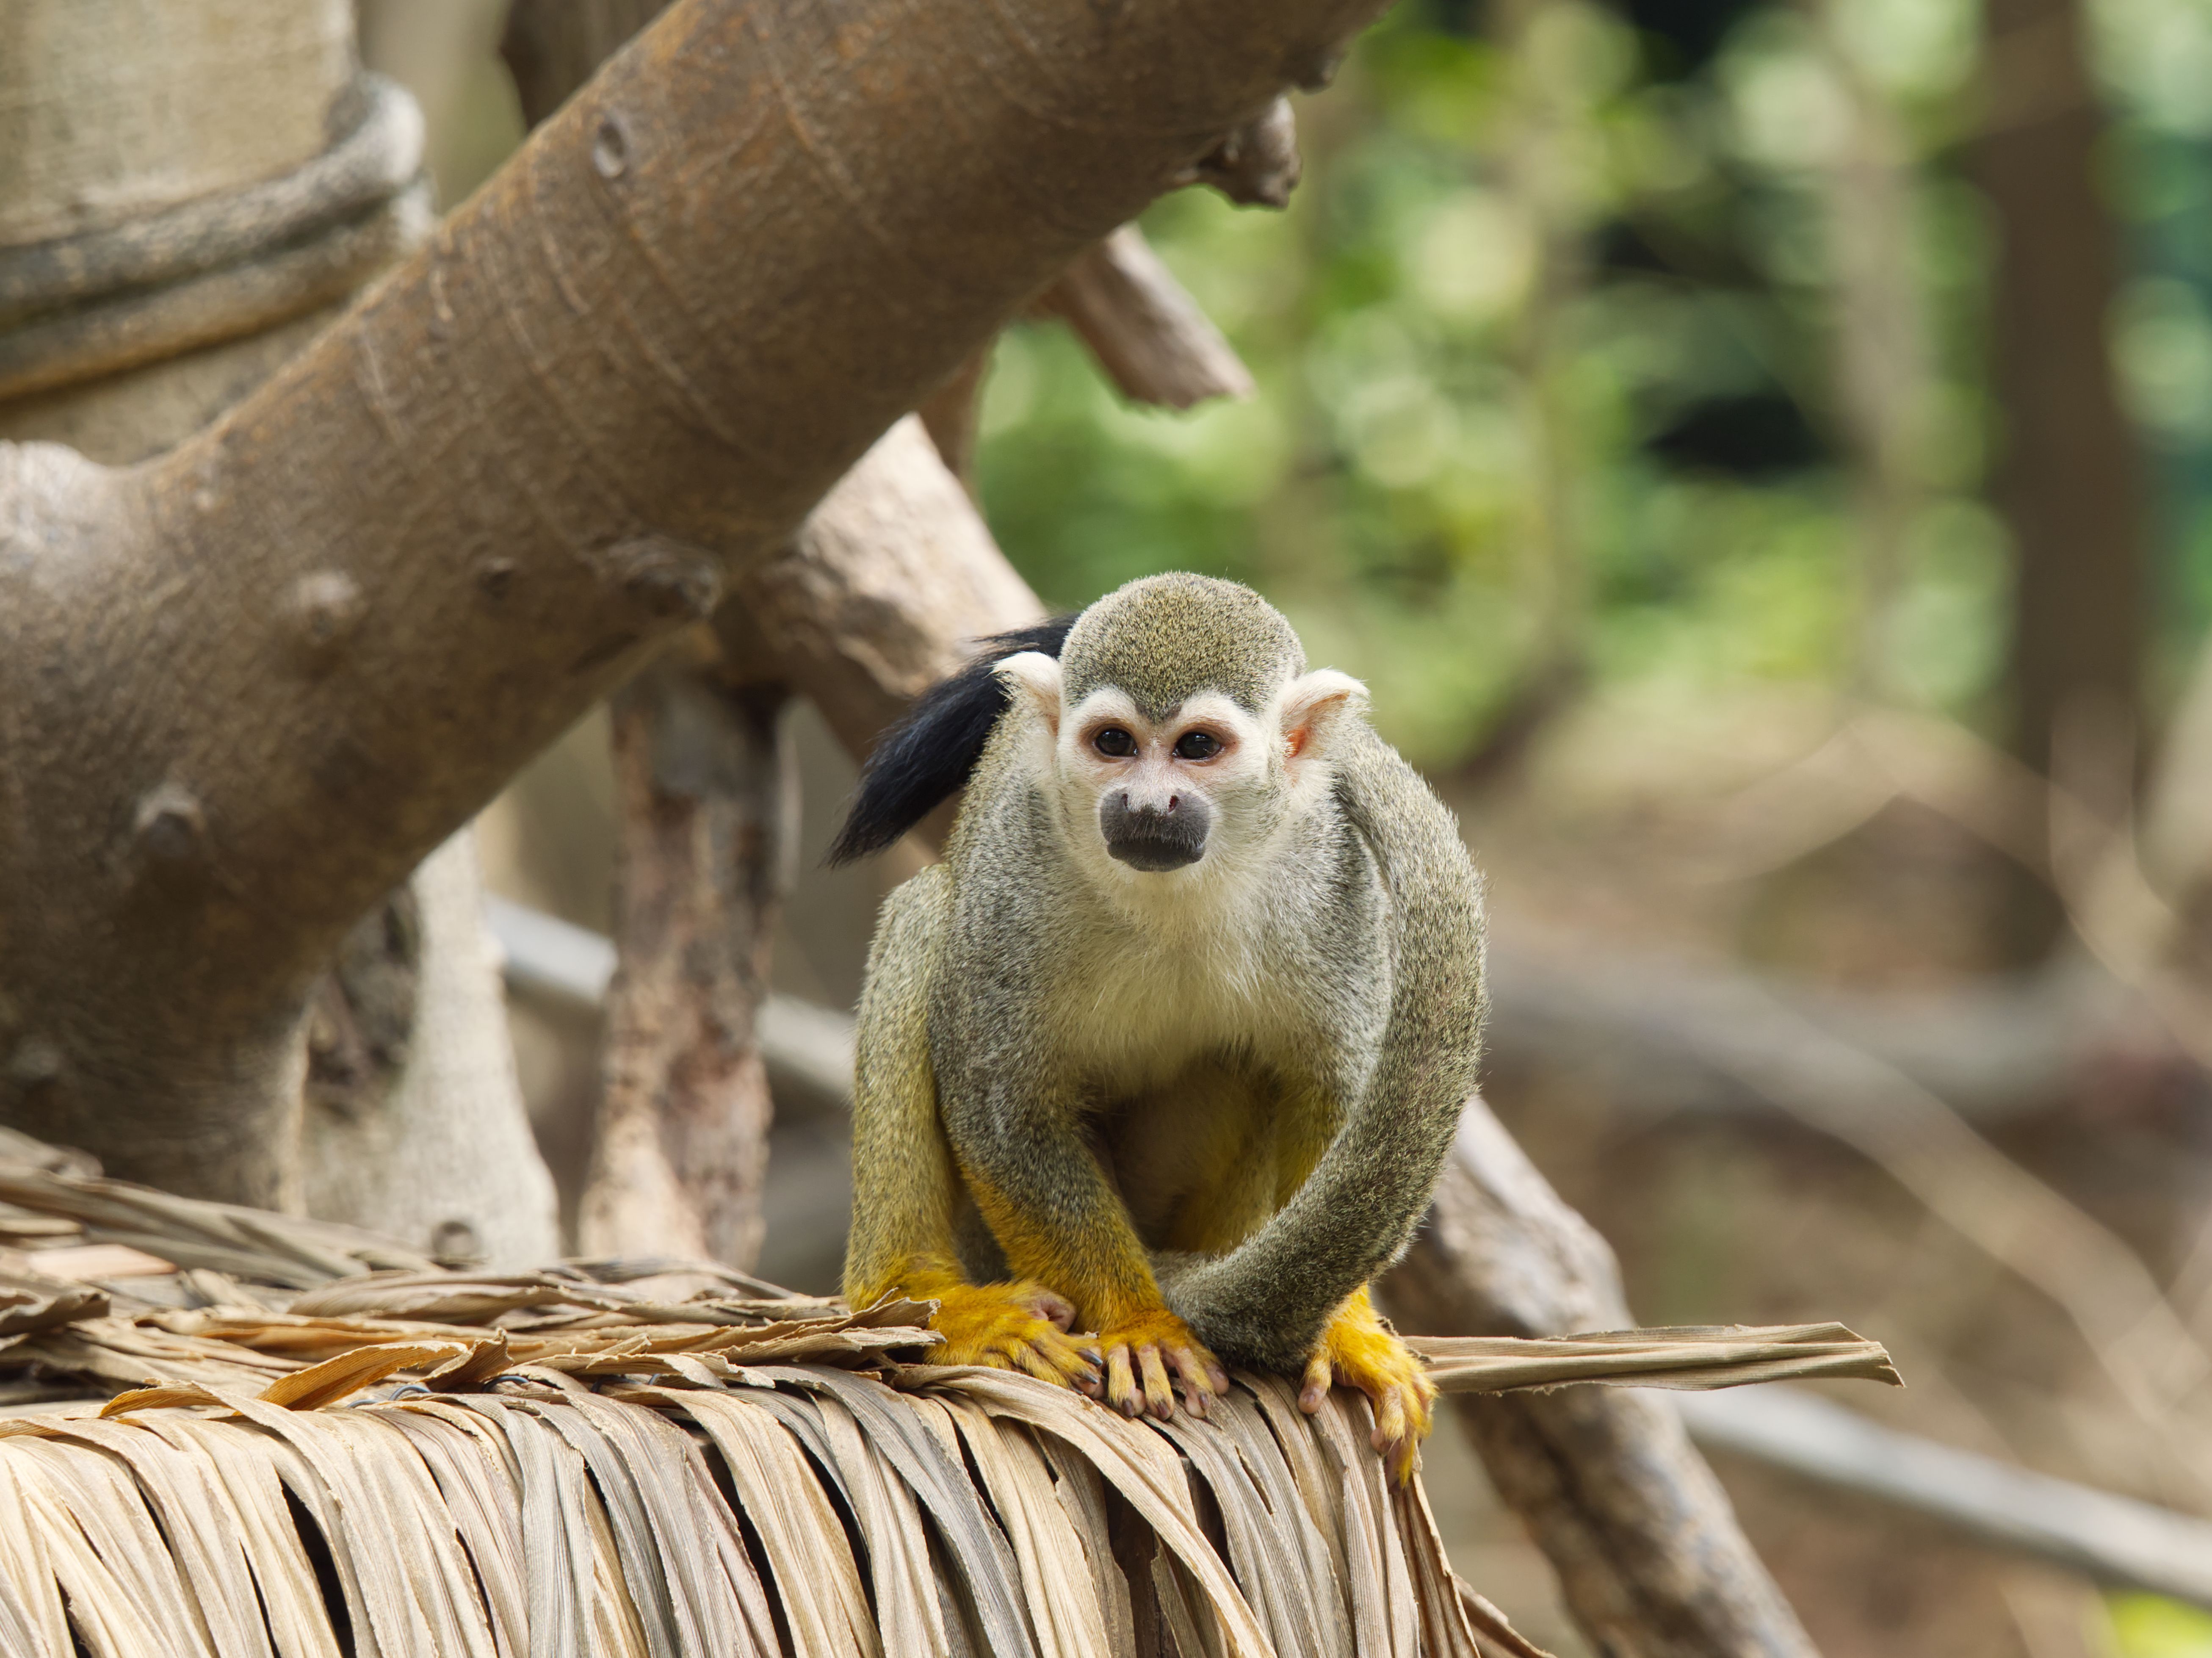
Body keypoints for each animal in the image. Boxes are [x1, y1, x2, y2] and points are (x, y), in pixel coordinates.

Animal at [833, 574, 1485, 1477]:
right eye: (1112, 742)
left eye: (1197, 747)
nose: (1146, 802)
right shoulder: (1014, 870)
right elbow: (1006, 1112)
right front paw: (1138, 1325)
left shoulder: (1330, 869)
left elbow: (1329, 1090)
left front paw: (1345, 1327)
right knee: (928, 916)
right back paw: (918, 1298)